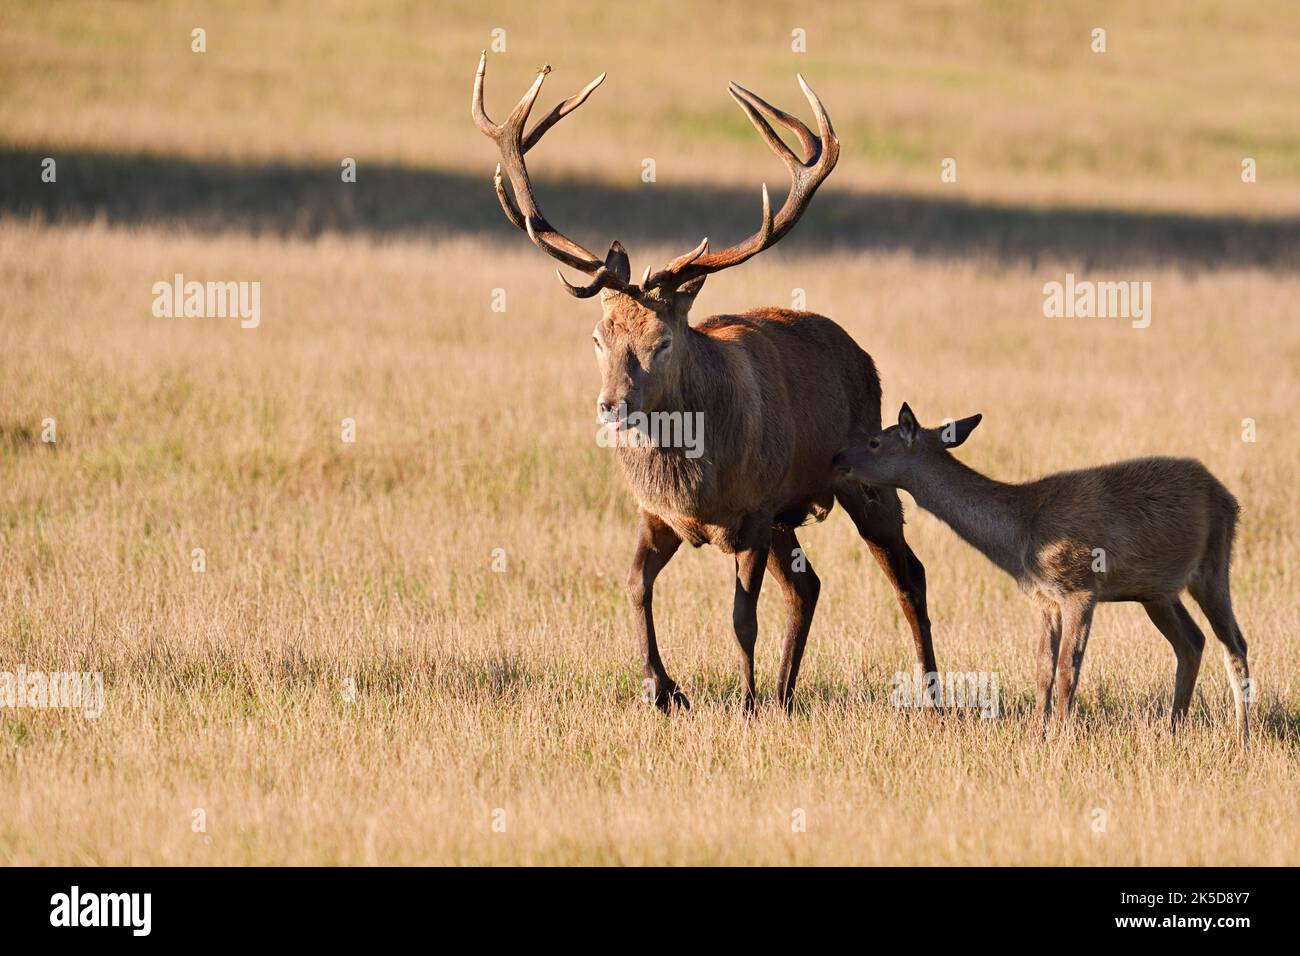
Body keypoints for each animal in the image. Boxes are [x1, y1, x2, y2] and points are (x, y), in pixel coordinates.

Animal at [471, 54, 938, 713]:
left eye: (663, 340)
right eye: (598, 336)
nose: (612, 406)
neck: (695, 487)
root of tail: (863, 357)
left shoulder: (754, 511)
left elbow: (741, 618)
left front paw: (741, 704)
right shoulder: (660, 516)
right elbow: (635, 585)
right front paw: (664, 689)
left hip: (856, 475)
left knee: (907, 573)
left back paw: (928, 693)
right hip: (788, 513)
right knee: (809, 587)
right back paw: (784, 695)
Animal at [833, 403, 1251, 745]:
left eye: (874, 441)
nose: (837, 456)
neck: (1020, 534)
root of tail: (1230, 499)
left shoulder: (1080, 586)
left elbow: (1068, 669)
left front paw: (1061, 739)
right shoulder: (1045, 598)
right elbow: (1042, 670)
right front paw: (1037, 734)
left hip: (1213, 564)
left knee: (1235, 644)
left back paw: (1242, 738)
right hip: (1157, 591)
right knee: (1192, 641)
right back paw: (1172, 730)